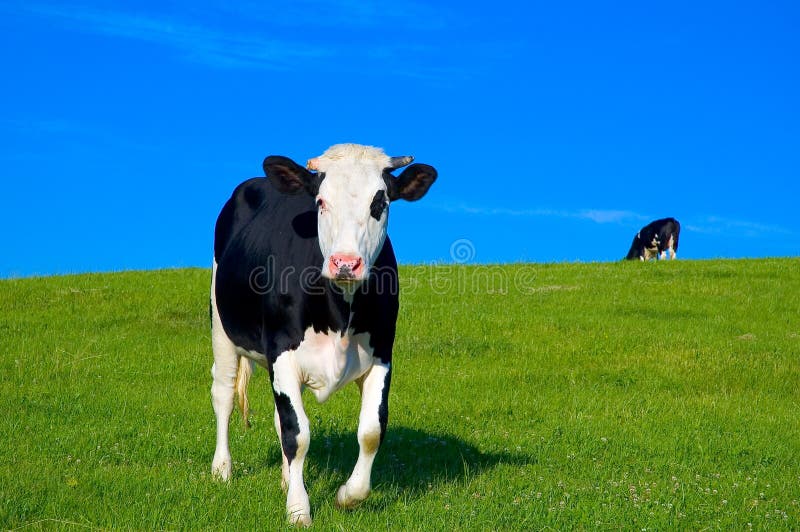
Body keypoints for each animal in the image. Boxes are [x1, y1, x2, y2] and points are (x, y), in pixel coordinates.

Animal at [209, 143, 437, 526]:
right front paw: (299, 509)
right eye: (320, 202)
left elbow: (371, 431)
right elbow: (297, 434)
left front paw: (348, 495)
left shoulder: (382, 354)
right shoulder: (281, 351)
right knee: (224, 395)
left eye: (380, 202)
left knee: (277, 415)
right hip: (222, 329)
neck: (339, 311)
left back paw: (286, 478)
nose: (345, 263)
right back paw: (221, 470)